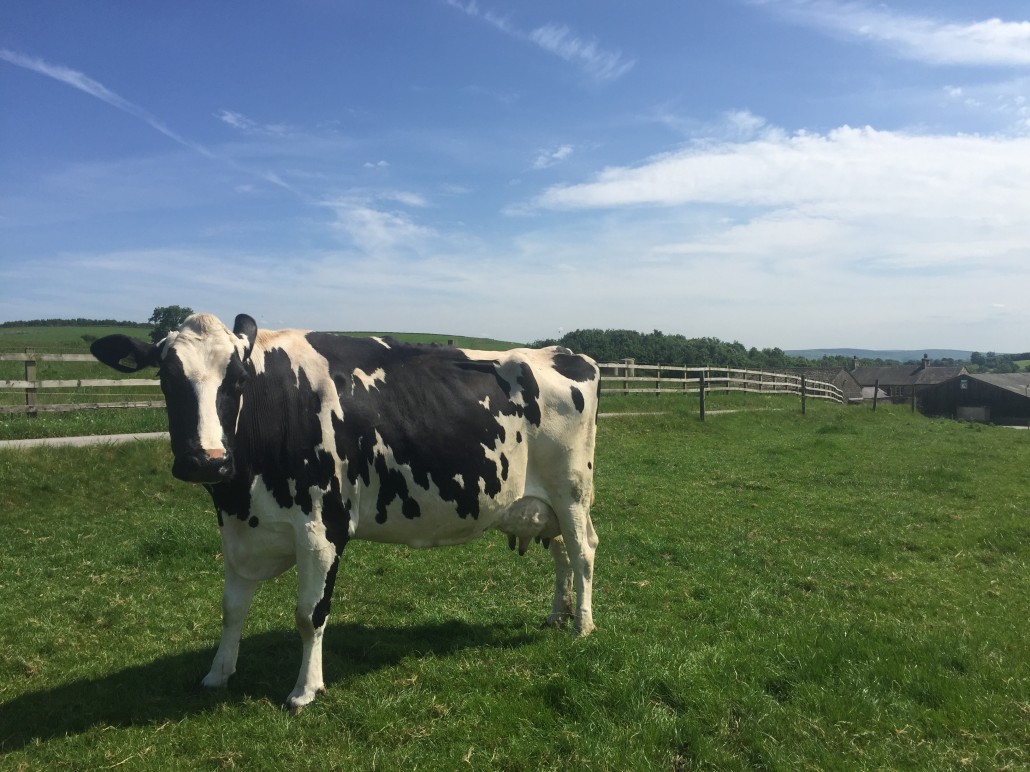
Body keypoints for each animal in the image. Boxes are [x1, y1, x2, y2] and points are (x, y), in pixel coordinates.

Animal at [90, 313, 600, 711]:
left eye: (237, 381)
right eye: (167, 378)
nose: (207, 460)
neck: (240, 492)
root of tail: (566, 353)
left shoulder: (321, 527)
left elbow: (309, 614)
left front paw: (304, 690)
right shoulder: (237, 531)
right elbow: (232, 609)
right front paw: (217, 674)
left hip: (573, 491)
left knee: (583, 552)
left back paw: (582, 625)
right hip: (543, 504)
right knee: (560, 552)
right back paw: (557, 614)